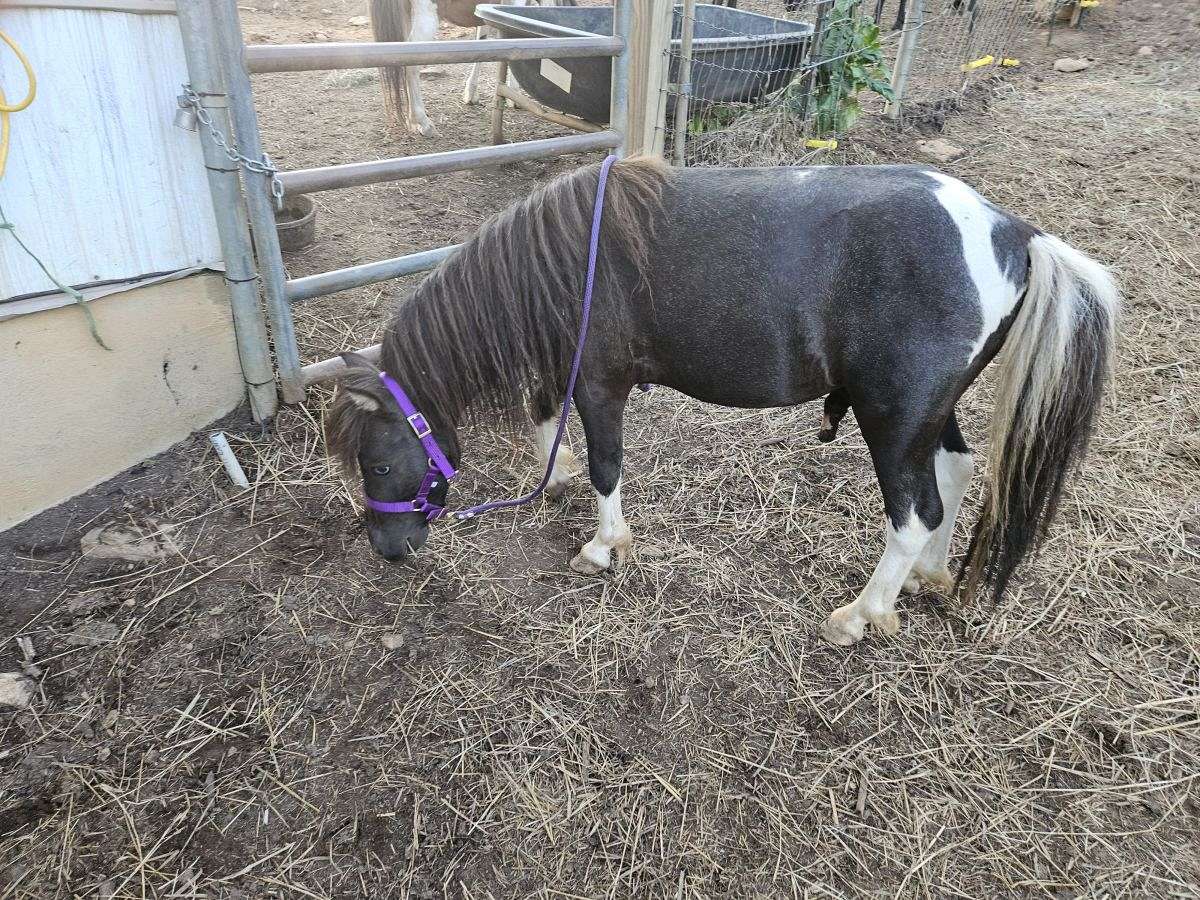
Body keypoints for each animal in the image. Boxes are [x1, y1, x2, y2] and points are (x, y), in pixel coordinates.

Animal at [326, 157, 1118, 646]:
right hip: (924, 413)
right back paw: (925, 578)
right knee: (954, 473)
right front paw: (552, 481)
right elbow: (544, 417)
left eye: (377, 464)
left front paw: (603, 546)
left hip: (891, 418)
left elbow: (606, 466)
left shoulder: (600, 384)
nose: (387, 549)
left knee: (913, 512)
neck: (569, 262)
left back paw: (861, 615)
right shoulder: (566, 367)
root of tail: (1011, 232)